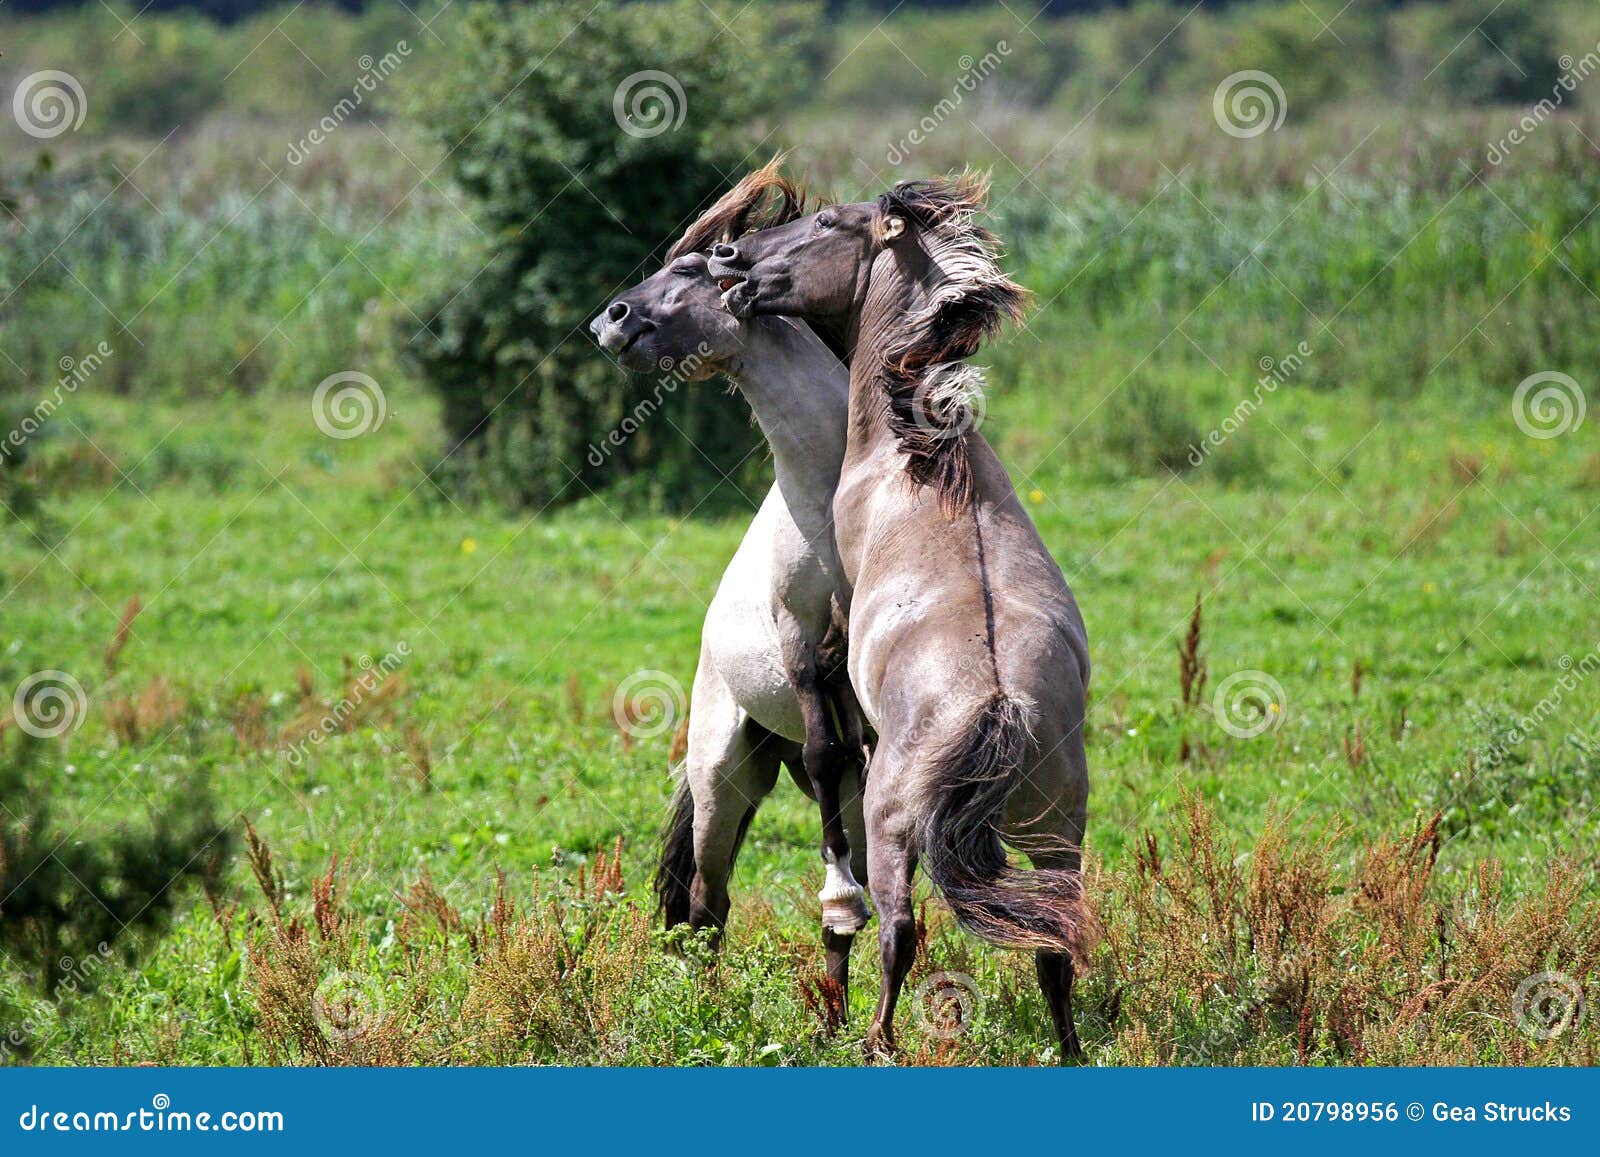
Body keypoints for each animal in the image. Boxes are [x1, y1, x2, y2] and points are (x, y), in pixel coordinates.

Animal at [588, 164, 874, 997]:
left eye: (691, 268)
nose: (608, 319)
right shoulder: (802, 644)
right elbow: (824, 751)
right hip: (725, 772)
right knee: (705, 901)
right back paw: (707, 1004)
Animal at [708, 172, 1095, 1060]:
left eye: (823, 221)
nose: (730, 258)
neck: (920, 455)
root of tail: (999, 704)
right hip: (1058, 832)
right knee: (1053, 941)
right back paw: (1067, 1049)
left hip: (892, 827)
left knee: (899, 928)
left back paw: (877, 1039)